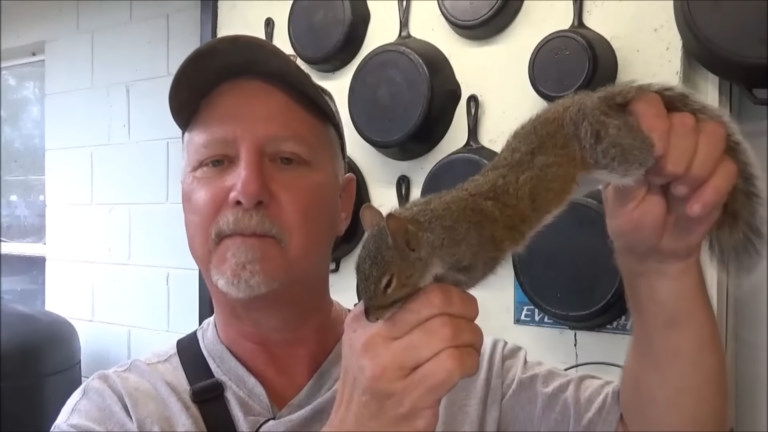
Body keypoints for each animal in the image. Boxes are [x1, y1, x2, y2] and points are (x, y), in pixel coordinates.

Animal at [355, 82, 767, 323]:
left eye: (389, 282)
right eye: (358, 275)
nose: (370, 317)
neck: (433, 229)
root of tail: (589, 100)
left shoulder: (477, 251)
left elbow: (469, 277)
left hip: (609, 149)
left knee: (641, 150)